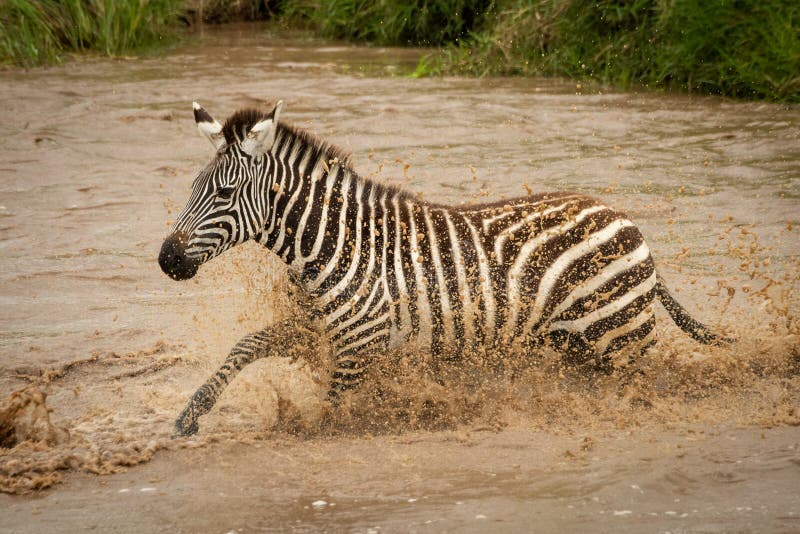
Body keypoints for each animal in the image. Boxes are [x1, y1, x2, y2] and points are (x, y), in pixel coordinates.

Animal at [158, 101, 730, 436]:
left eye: (224, 194)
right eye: (193, 189)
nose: (167, 259)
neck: (336, 246)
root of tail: (624, 217)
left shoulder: (357, 348)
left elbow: (330, 414)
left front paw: (309, 431)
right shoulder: (316, 328)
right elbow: (245, 346)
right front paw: (190, 414)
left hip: (620, 335)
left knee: (648, 385)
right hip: (578, 343)